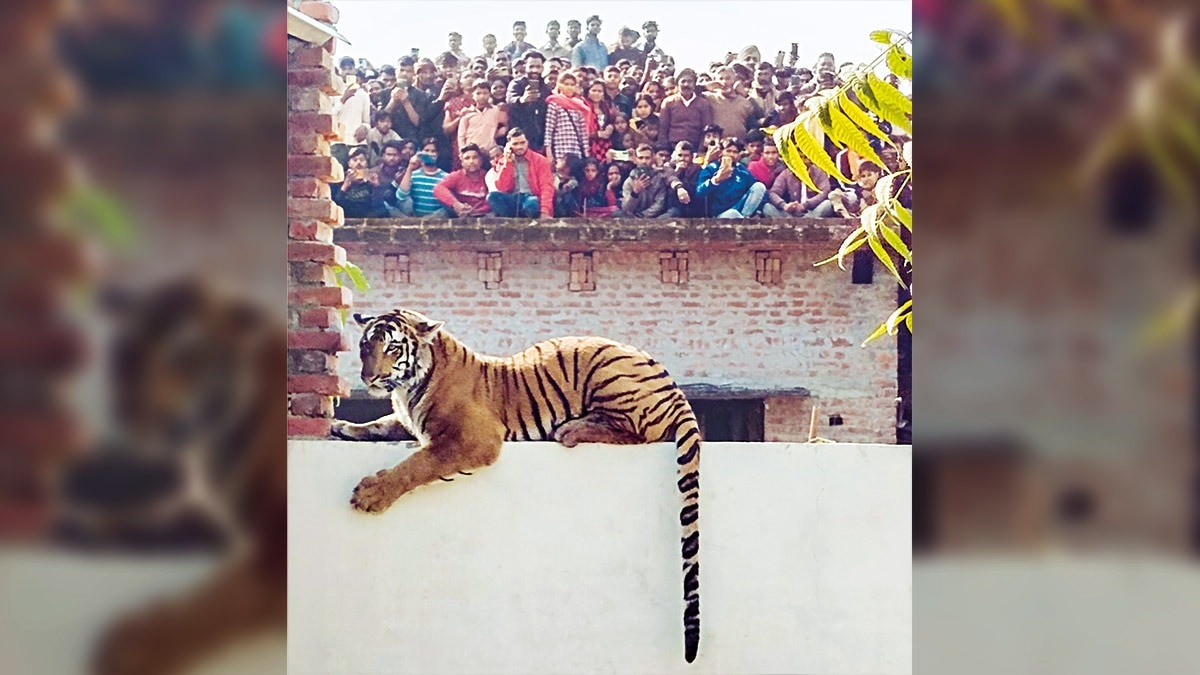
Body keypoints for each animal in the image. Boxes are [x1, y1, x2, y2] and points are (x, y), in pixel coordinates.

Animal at [333, 309, 703, 663]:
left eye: (393, 348)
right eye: (365, 346)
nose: (369, 378)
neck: (407, 389)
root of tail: (675, 388)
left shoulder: (472, 439)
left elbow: (418, 463)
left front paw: (372, 493)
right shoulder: (408, 421)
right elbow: (380, 424)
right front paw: (343, 426)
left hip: (607, 370)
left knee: (639, 432)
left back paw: (572, 429)